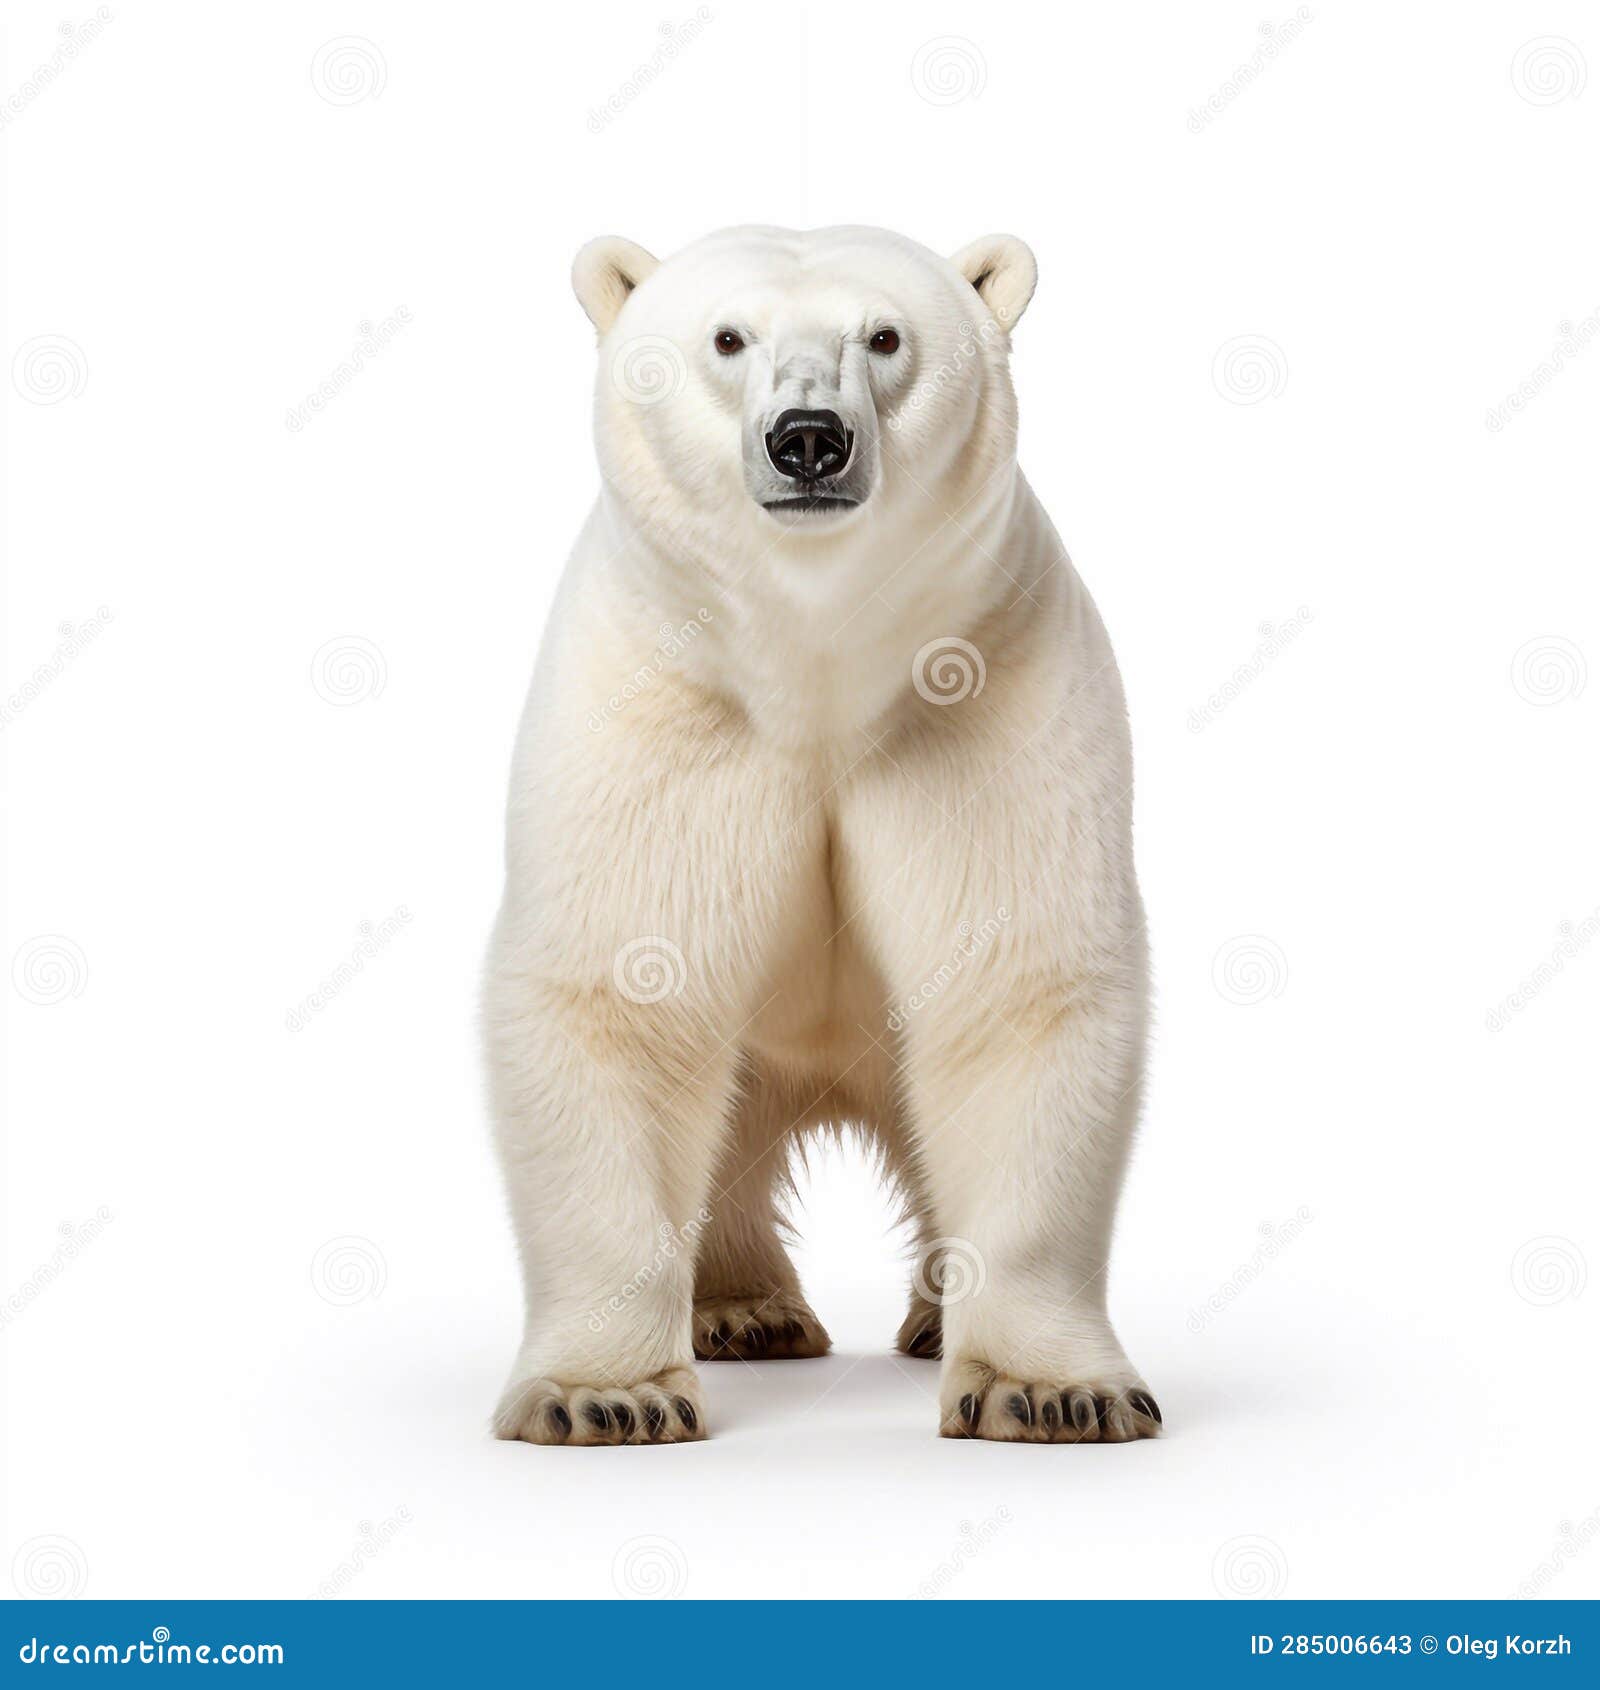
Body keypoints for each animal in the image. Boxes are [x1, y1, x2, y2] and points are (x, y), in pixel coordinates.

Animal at [484, 225, 1160, 1446]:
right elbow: (622, 994)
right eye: (727, 338)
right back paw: (742, 1308)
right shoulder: (667, 708)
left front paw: (1050, 1389)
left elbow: (1017, 992)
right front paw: (605, 1394)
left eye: (884, 336)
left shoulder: (984, 689)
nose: (808, 439)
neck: (818, 669)